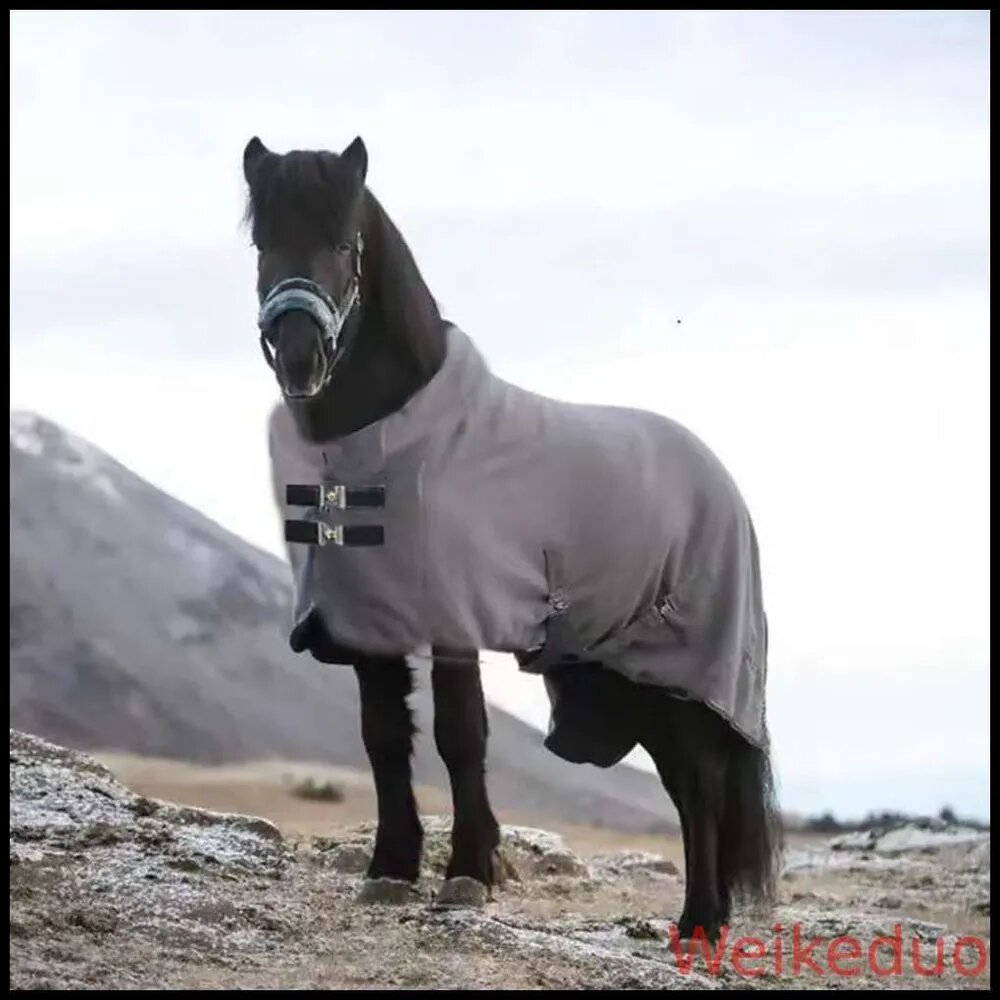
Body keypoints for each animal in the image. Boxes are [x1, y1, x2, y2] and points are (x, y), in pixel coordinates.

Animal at [243, 134, 782, 938]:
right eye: (262, 242)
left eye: (343, 244)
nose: (301, 356)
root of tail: (722, 483)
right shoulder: (369, 626)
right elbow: (383, 736)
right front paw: (390, 868)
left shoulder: (454, 619)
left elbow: (460, 733)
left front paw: (468, 871)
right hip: (638, 678)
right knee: (689, 785)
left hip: (684, 672)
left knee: (701, 782)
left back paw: (700, 921)